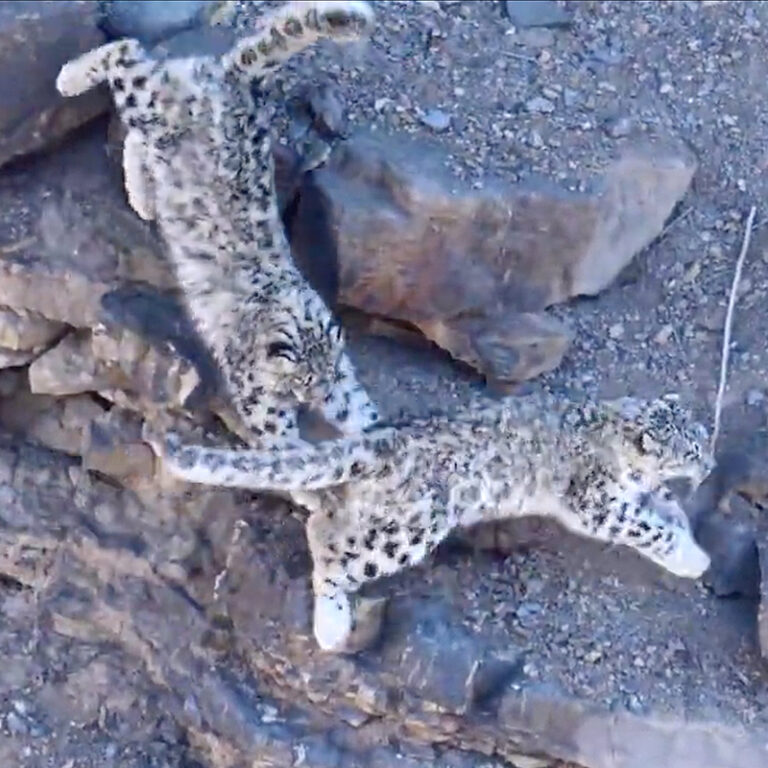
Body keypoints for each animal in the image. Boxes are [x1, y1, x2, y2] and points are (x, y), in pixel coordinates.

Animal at [55, 1, 380, 443]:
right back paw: (68, 79)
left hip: (160, 130)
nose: (317, 399)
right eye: (299, 383)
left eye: (327, 381)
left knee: (139, 128)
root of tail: (236, 85)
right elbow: (281, 442)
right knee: (126, 53)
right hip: (151, 102)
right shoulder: (260, 399)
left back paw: (144, 197)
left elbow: (365, 414)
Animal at [143, 391, 715, 652]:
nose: (710, 465)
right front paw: (692, 557)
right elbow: (645, 525)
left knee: (327, 512)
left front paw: (685, 526)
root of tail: (386, 440)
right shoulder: (594, 501)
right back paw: (332, 625)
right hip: (412, 525)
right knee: (329, 548)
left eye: (705, 438)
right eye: (689, 449)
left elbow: (665, 507)